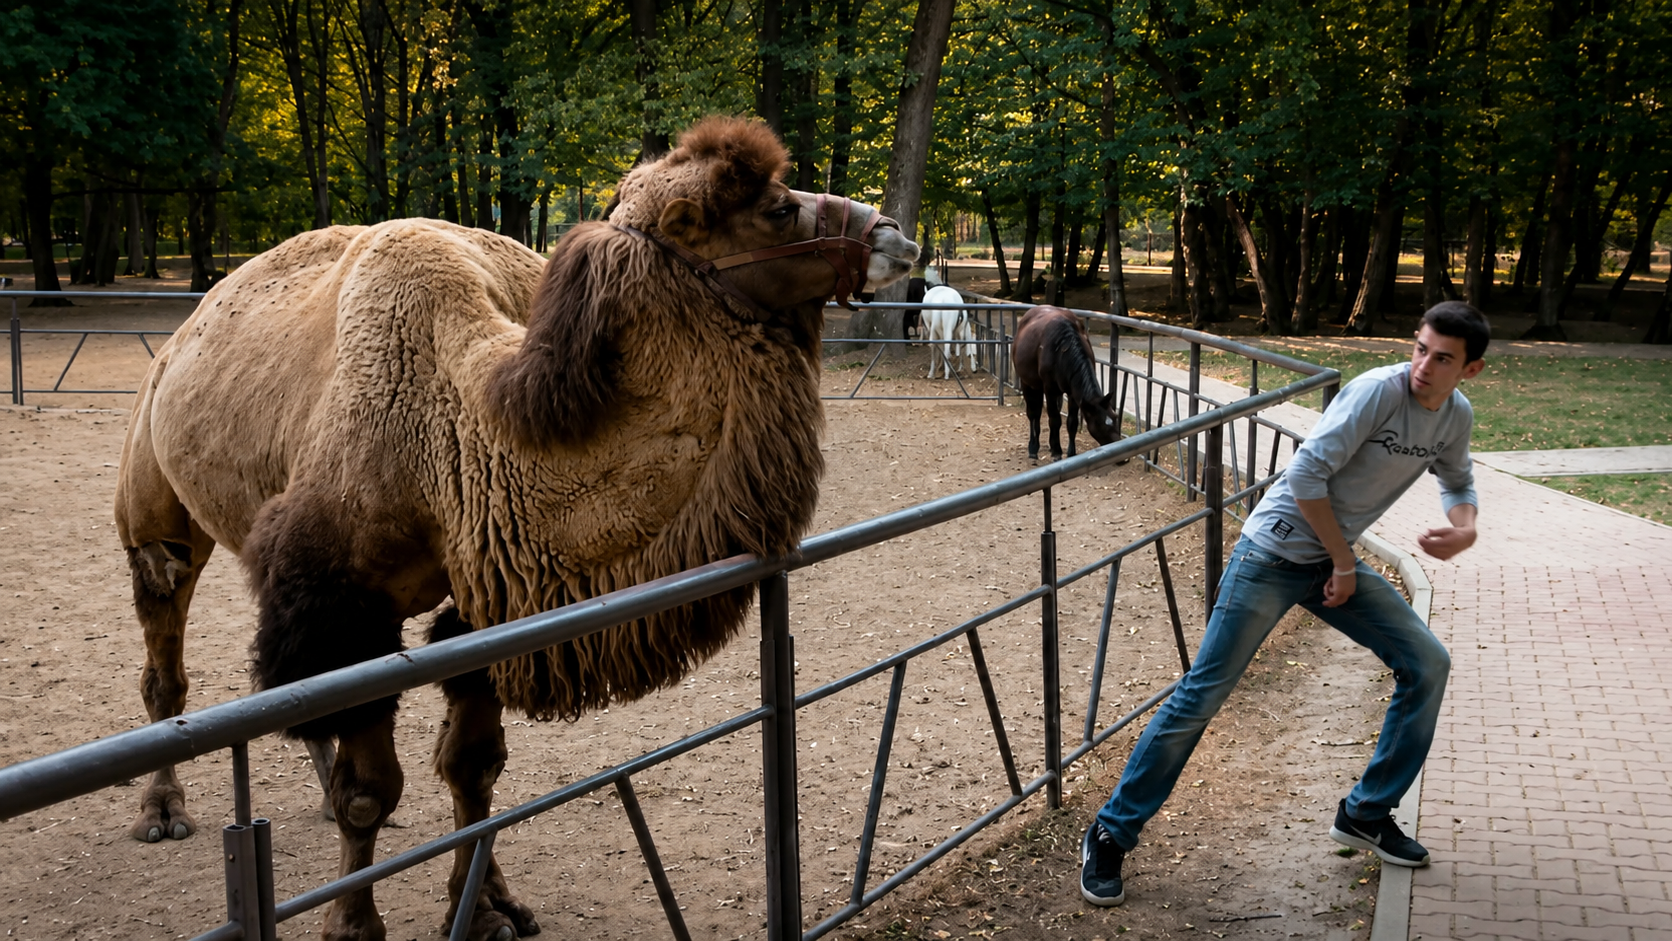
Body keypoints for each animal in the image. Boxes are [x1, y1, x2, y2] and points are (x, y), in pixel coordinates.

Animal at [113, 116, 917, 941]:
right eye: (778, 208)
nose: (894, 235)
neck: (460, 434)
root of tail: (189, 328)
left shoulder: (489, 599)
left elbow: (472, 764)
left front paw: (486, 905)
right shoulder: (345, 590)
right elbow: (369, 789)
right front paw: (355, 924)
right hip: (156, 507)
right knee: (167, 653)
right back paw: (162, 809)